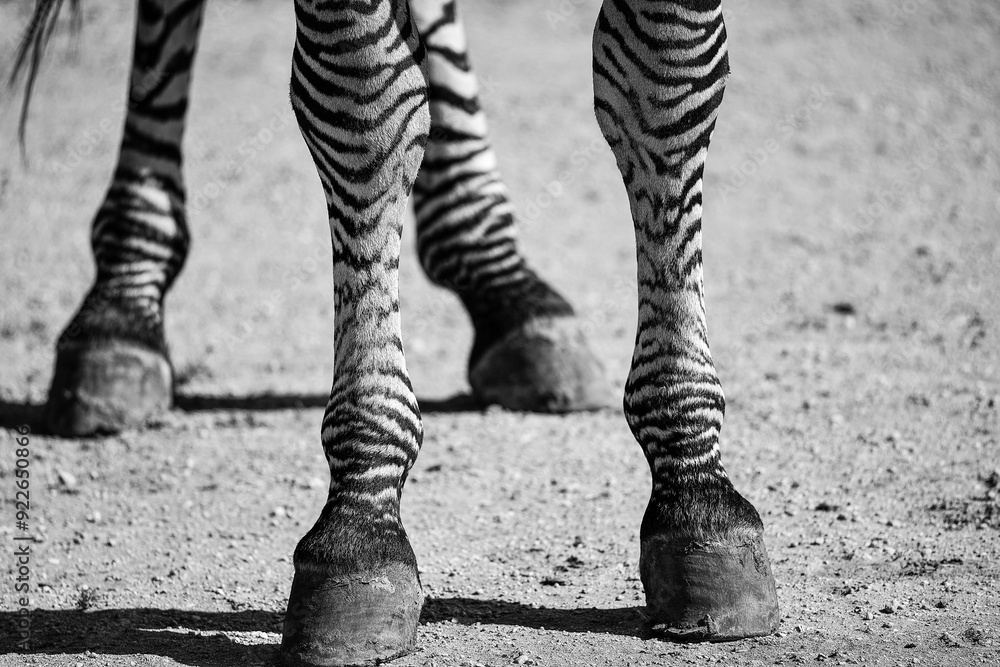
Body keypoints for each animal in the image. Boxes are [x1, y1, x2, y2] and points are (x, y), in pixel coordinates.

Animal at [11, 0, 780, 664]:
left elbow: (663, 77)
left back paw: (502, 280)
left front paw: (696, 493)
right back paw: (120, 314)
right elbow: (366, 101)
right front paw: (362, 528)